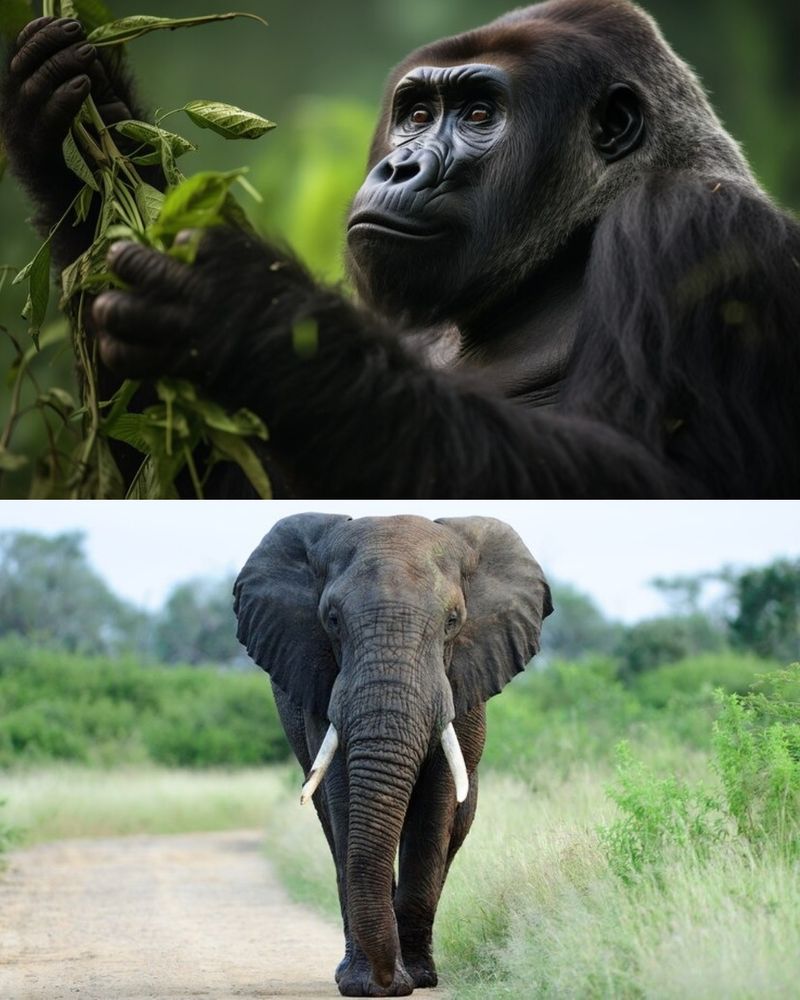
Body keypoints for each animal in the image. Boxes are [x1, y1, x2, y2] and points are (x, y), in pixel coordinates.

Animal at [234, 513, 552, 997]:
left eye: (453, 620)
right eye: (331, 620)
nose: (388, 982)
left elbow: (436, 804)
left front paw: (416, 979)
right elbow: (343, 792)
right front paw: (368, 985)